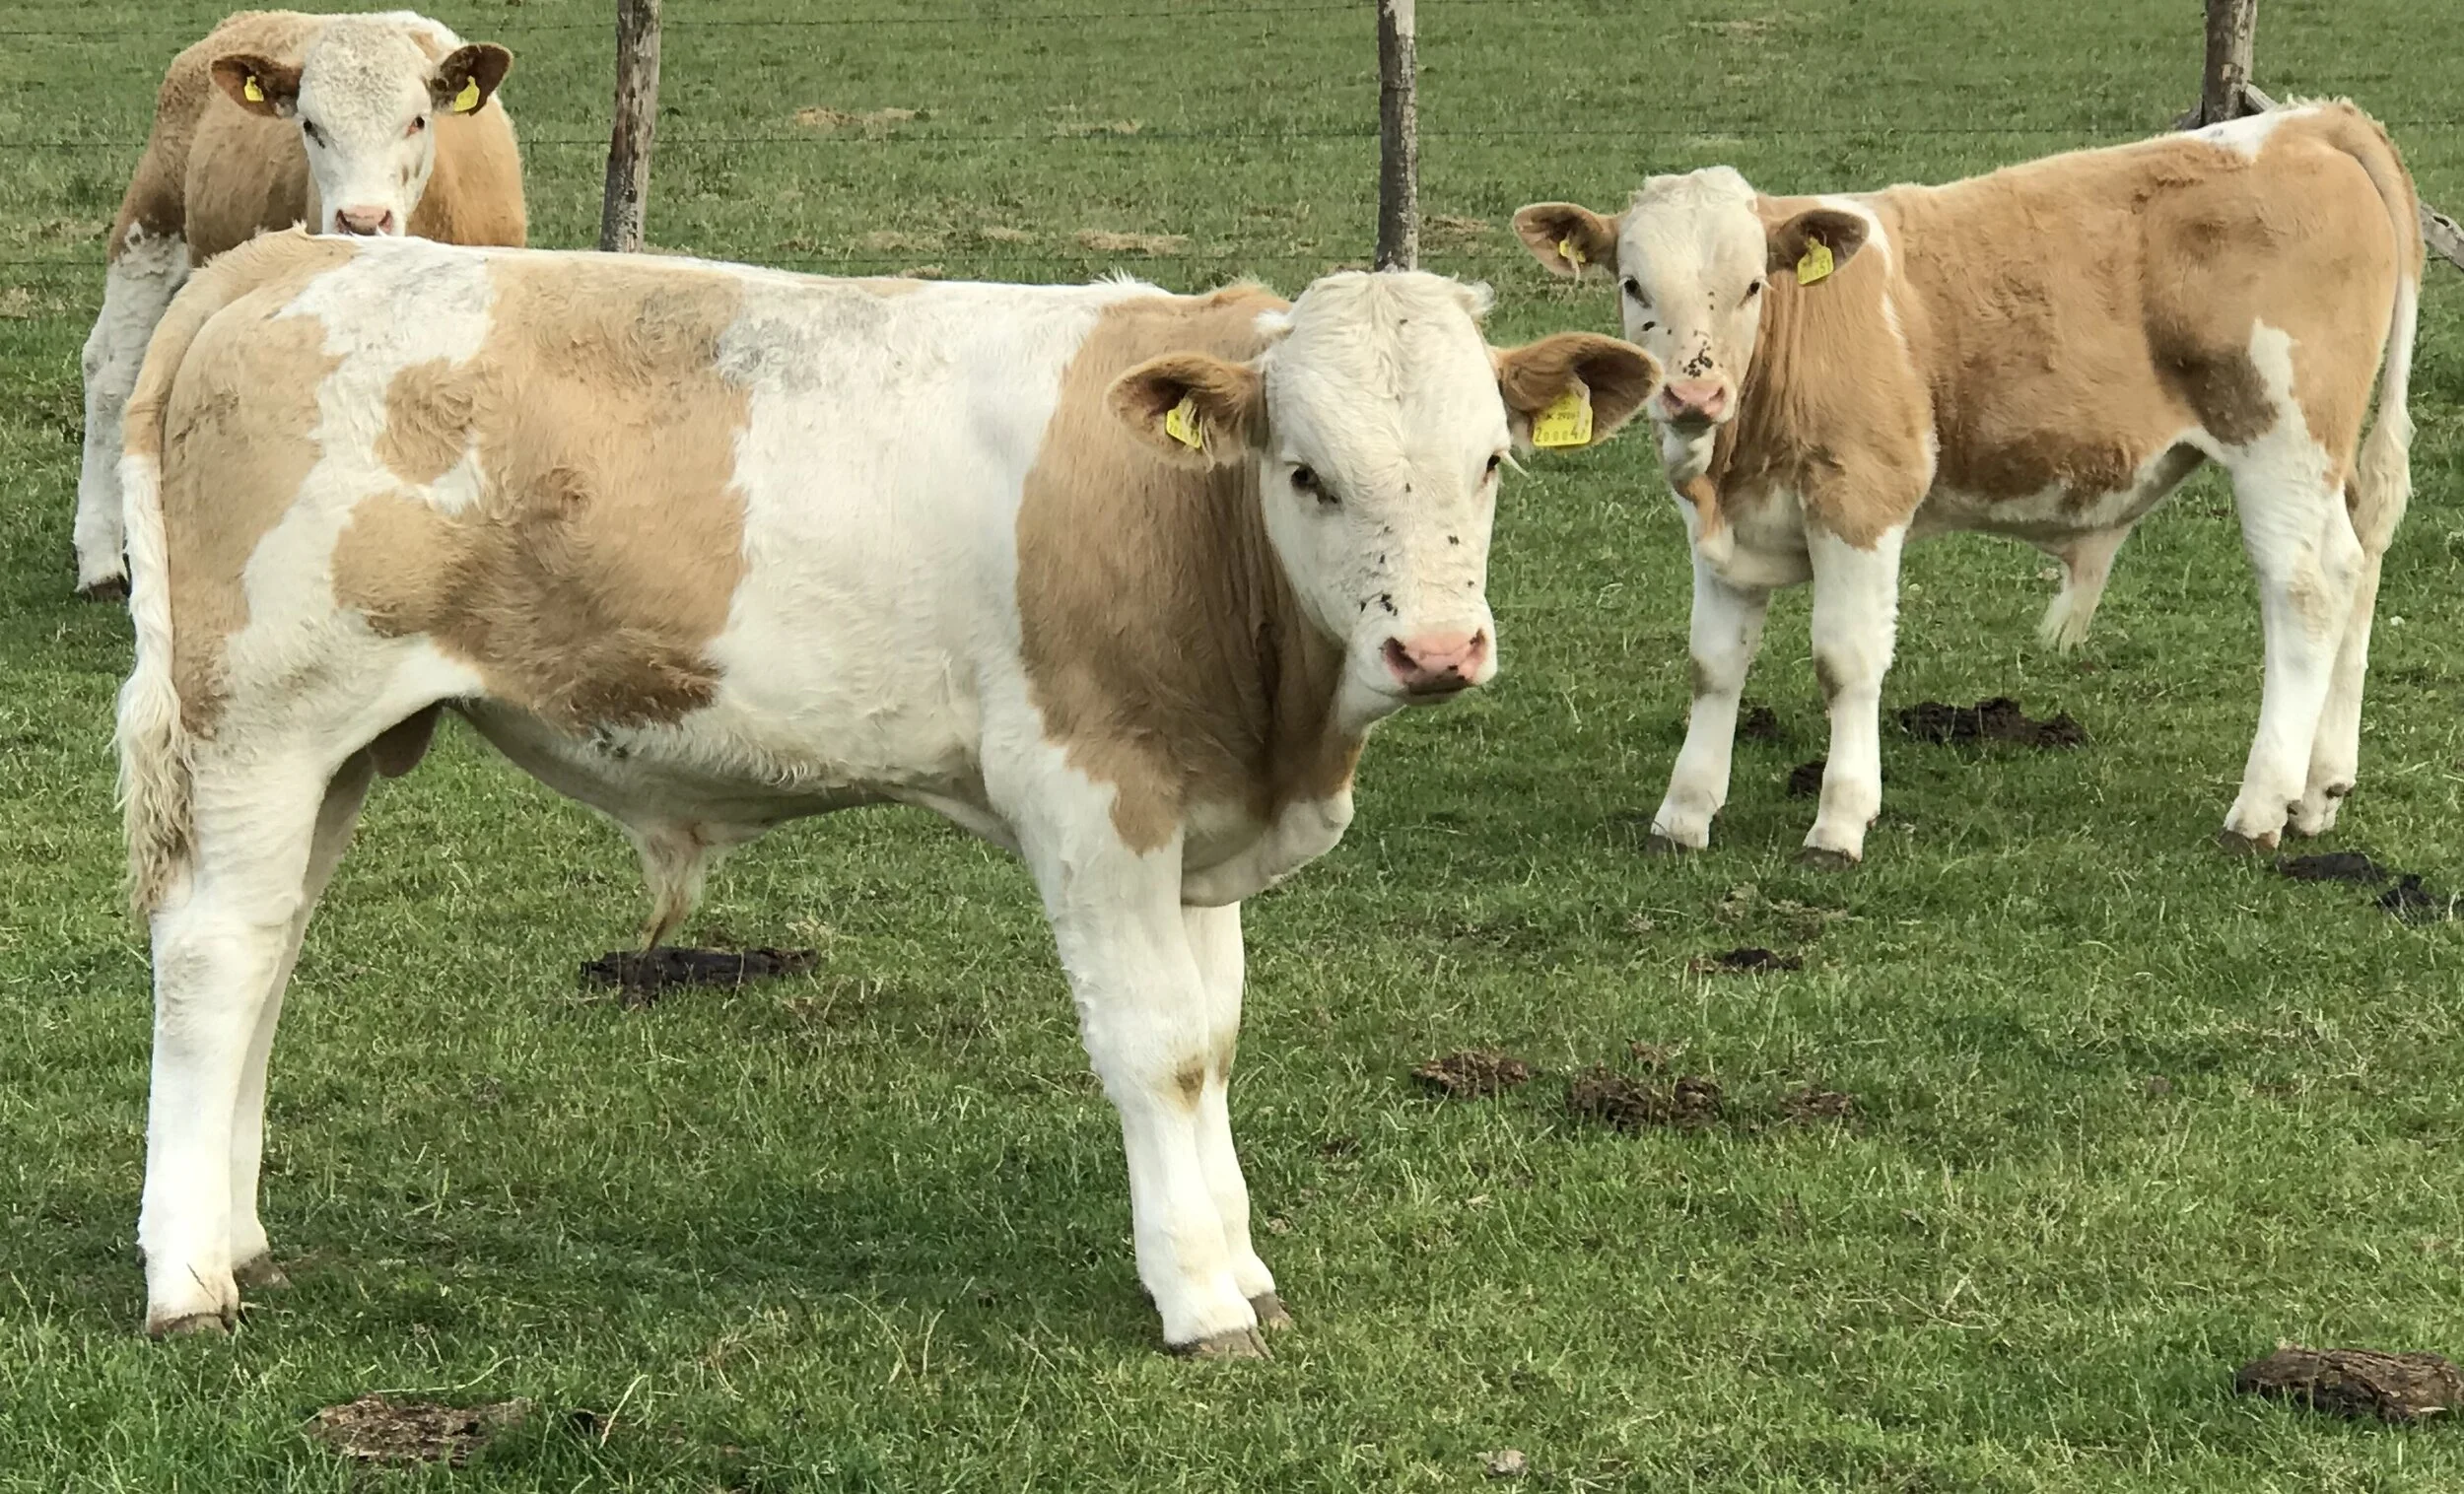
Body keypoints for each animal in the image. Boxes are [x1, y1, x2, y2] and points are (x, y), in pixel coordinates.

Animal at [74, 9, 524, 600]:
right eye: (311, 127)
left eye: (418, 121)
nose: (361, 220)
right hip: (149, 231)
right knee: (110, 376)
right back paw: (101, 560)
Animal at [112, 229, 1659, 1352]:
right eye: (1307, 473)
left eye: (1491, 461)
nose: (1438, 650)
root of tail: (291, 256)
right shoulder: (1090, 799)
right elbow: (1156, 1048)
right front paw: (1199, 1301)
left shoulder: (1194, 809)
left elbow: (1212, 1039)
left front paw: (1240, 1259)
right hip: (262, 721)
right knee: (214, 957)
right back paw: (187, 1276)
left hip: (340, 750)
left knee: (269, 953)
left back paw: (239, 1234)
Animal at [1513, 101, 2420, 865]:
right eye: (1633, 285)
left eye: (1753, 285)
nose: (1693, 395)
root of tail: (2306, 122)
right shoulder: (1723, 532)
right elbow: (1712, 666)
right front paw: (1684, 815)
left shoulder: (1863, 499)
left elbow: (1845, 661)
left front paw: (1840, 822)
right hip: (2322, 462)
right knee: (2353, 571)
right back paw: (2318, 792)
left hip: (2280, 442)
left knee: (2304, 597)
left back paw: (2260, 809)